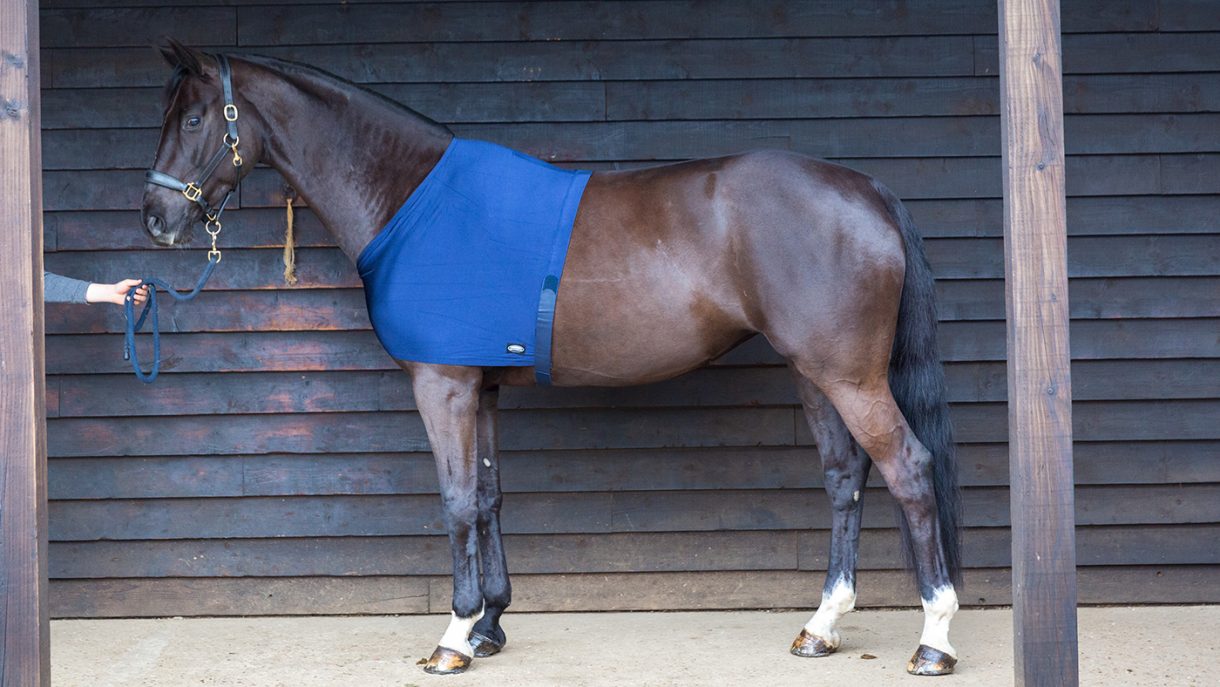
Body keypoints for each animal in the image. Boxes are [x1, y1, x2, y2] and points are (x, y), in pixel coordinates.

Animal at [140, 39, 963, 677]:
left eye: (193, 118)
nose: (157, 218)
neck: (414, 199)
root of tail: (866, 190)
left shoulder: (442, 384)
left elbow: (457, 501)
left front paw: (453, 638)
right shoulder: (481, 385)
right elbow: (489, 496)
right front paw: (490, 627)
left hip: (848, 376)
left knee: (908, 470)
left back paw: (934, 640)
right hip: (815, 372)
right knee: (845, 478)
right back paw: (822, 627)